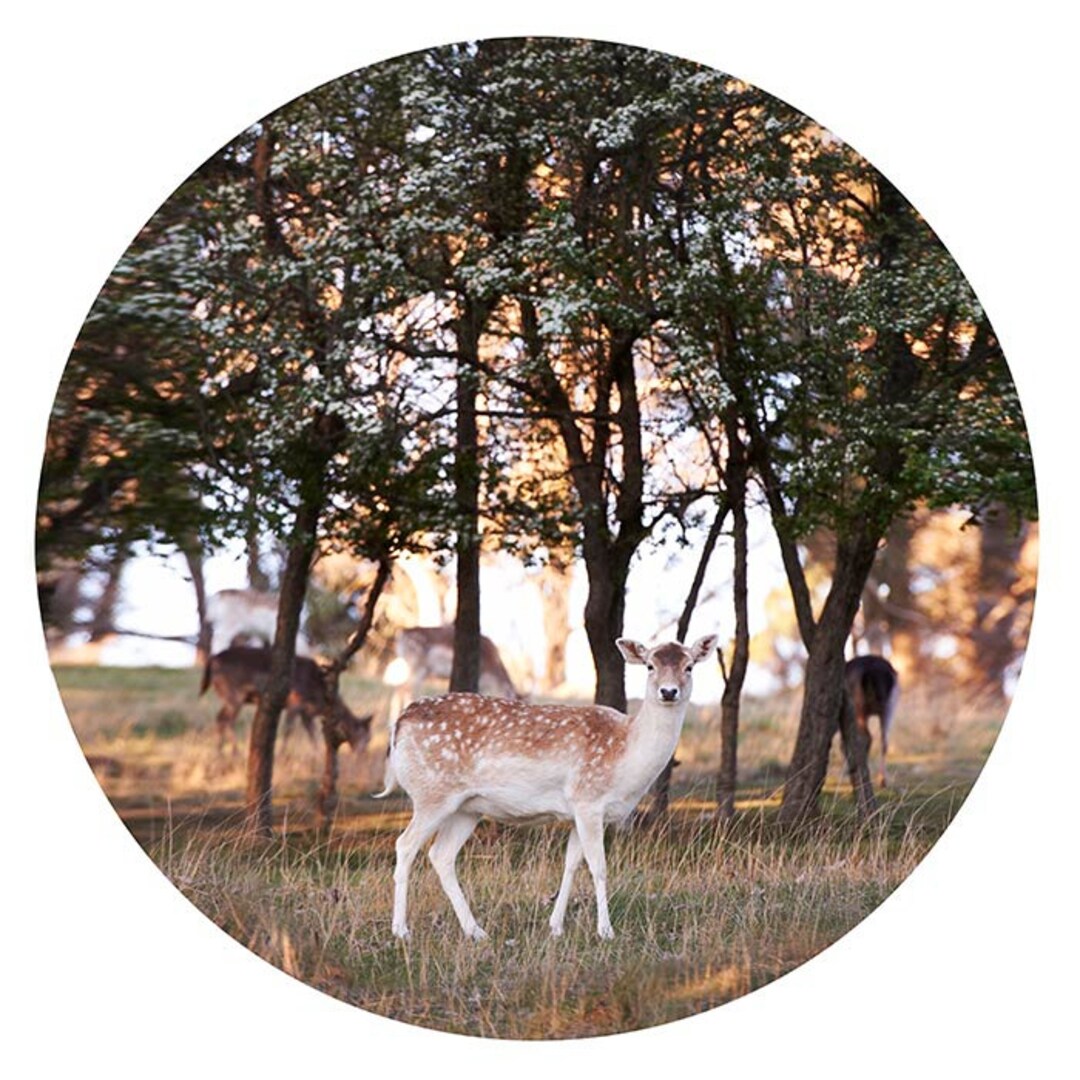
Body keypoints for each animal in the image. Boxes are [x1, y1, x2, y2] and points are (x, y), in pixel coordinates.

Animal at [375, 633, 717, 941]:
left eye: (689, 666)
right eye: (649, 665)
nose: (668, 691)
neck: (625, 759)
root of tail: (399, 724)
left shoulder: (579, 811)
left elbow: (571, 864)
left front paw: (555, 927)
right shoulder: (589, 800)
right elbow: (599, 867)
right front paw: (606, 931)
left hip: (467, 807)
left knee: (441, 855)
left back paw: (476, 931)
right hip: (431, 793)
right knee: (405, 845)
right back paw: (401, 930)